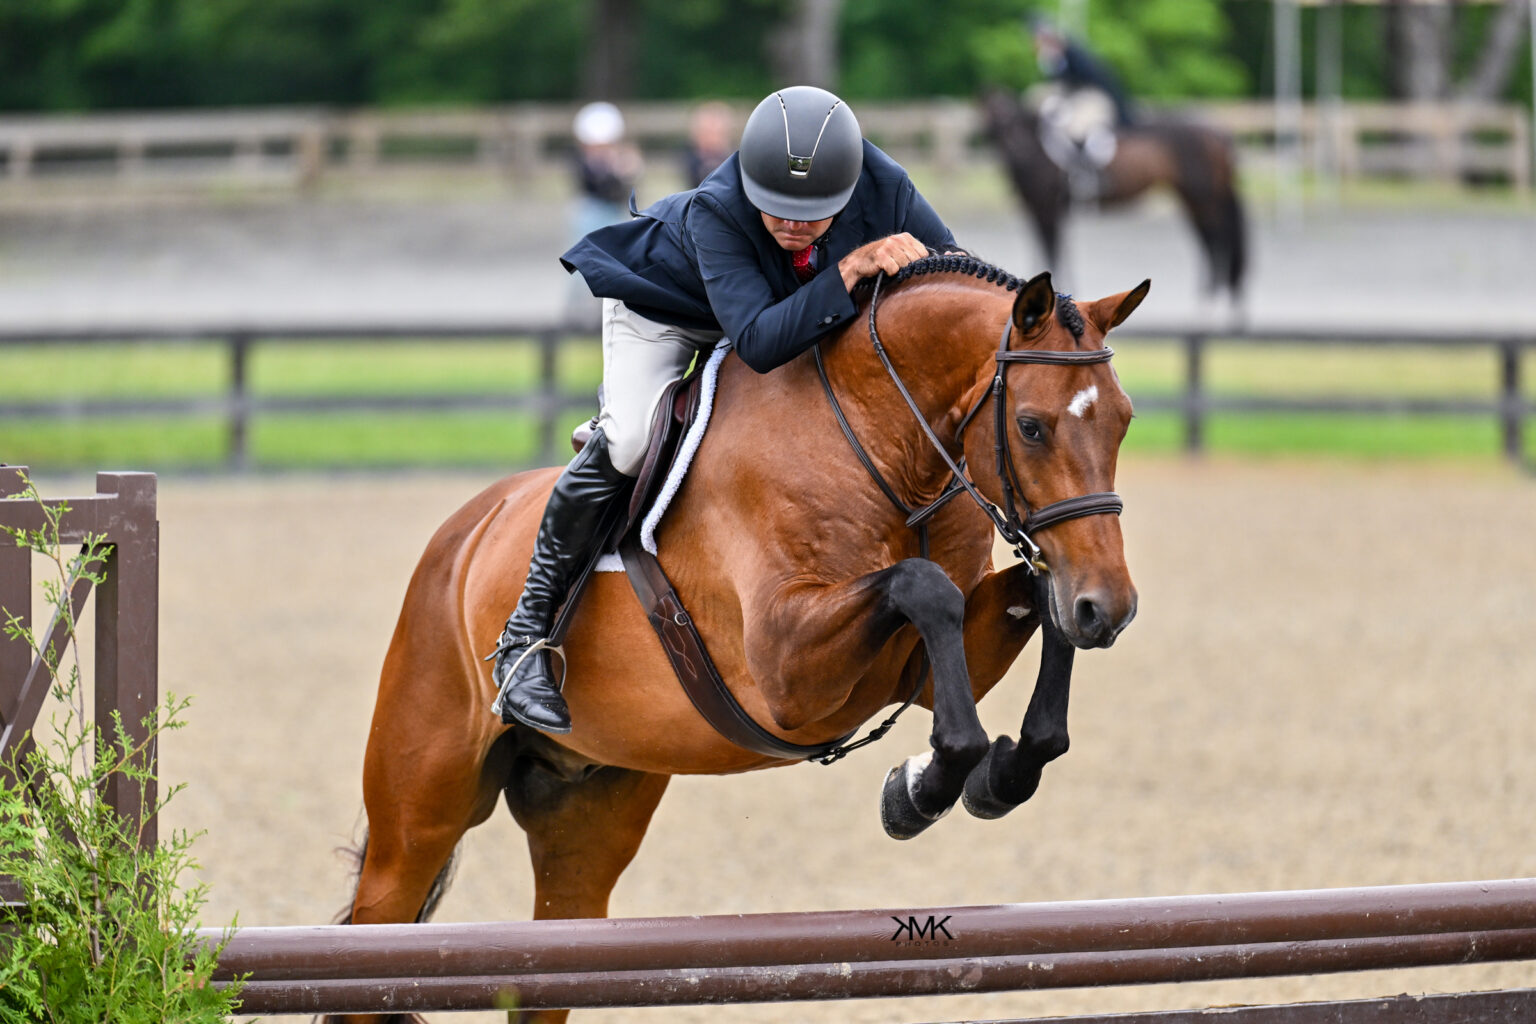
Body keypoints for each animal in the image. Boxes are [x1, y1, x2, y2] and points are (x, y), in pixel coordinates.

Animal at [330, 257, 1148, 1024]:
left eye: (1124, 421)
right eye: (1032, 426)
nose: (1108, 609)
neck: (883, 444)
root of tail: (469, 529)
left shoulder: (927, 666)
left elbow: (1026, 606)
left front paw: (988, 774)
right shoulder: (788, 673)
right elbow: (924, 588)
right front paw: (928, 786)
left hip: (586, 816)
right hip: (418, 815)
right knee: (374, 938)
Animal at [981, 87, 1246, 303]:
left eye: (1008, 119)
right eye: (991, 120)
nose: (1017, 153)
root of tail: (1219, 135)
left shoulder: (1048, 211)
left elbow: (1052, 250)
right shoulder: (1039, 211)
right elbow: (1049, 250)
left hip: (1205, 200)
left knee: (1218, 238)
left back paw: (1212, 295)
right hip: (1193, 201)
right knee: (1208, 239)